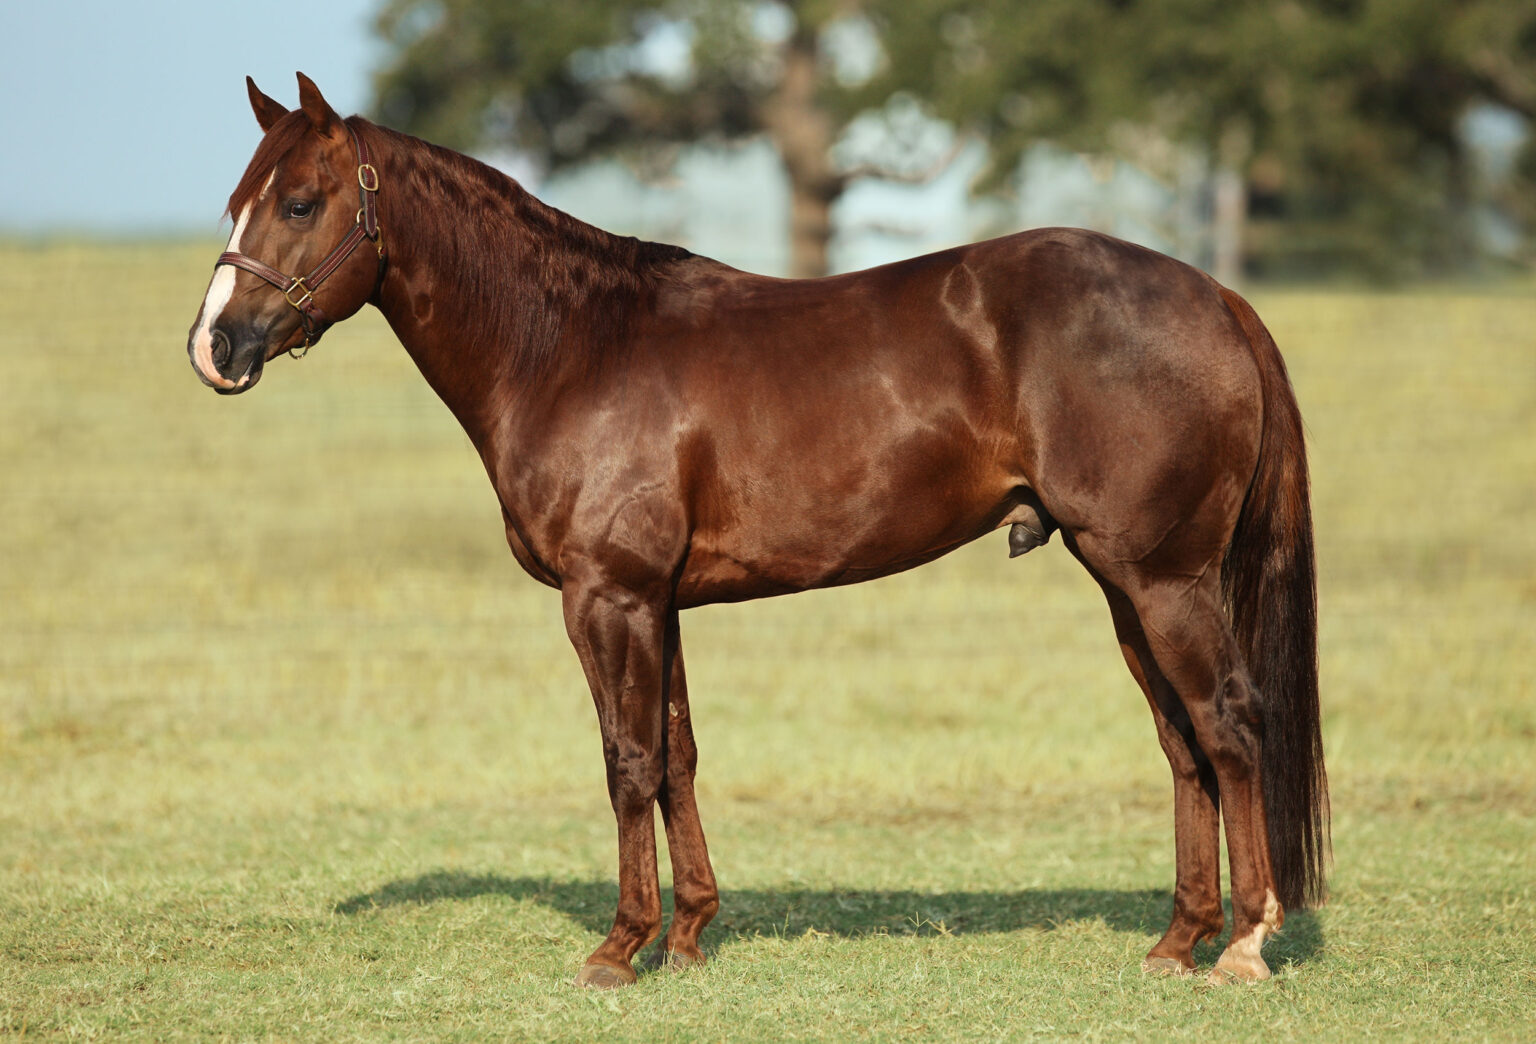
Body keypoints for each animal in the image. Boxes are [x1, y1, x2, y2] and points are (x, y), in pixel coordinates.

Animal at [187, 74, 1328, 988]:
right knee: (1182, 745)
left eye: (300, 202)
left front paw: (621, 949)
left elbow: (627, 761)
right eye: (238, 201)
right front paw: (691, 934)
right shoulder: (660, 603)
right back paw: (1177, 941)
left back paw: (1240, 946)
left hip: (1165, 579)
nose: (216, 347)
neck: (571, 346)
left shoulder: (608, 597)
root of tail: (1214, 294)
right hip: (1125, 585)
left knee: (1228, 727)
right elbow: (678, 754)